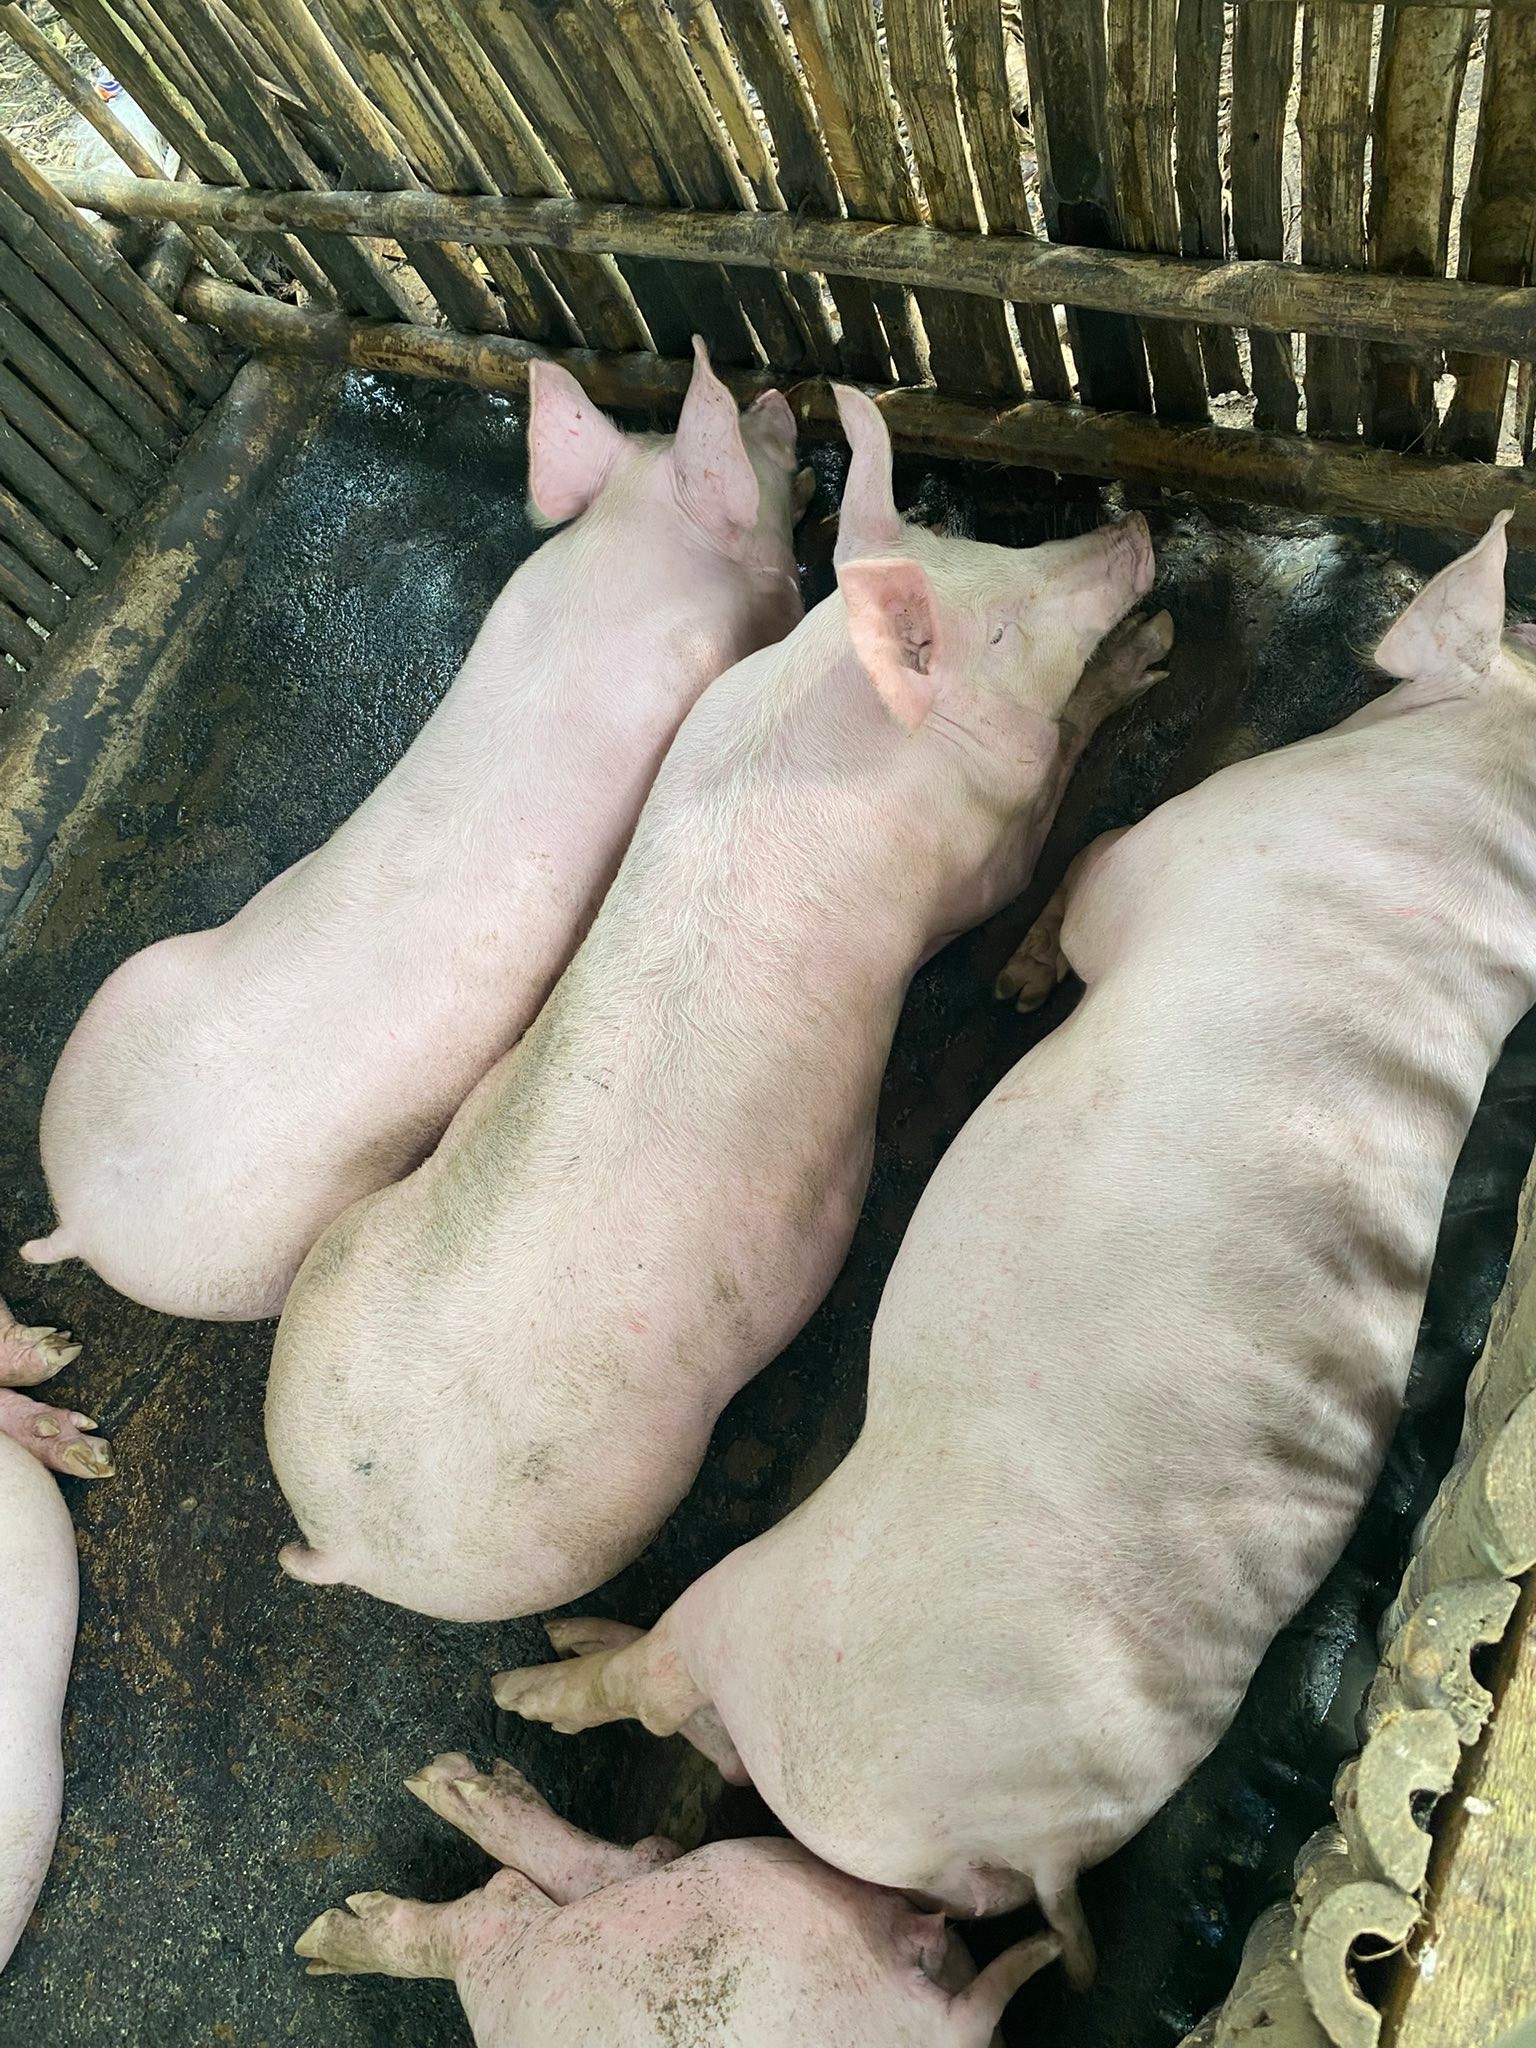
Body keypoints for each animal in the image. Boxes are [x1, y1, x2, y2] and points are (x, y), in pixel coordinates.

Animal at [265, 383, 1164, 1622]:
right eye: (1002, 630)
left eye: (989, 546)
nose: (1135, 528)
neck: (848, 713)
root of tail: (344, 1530)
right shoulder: (989, 853)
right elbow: (1047, 789)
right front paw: (1149, 658)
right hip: (594, 1514)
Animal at [294, 1750, 1058, 2046]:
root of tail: (949, 2017)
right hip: (745, 1879)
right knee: (640, 1856)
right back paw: (454, 1782)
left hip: (558, 1979)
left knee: (495, 1914)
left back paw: (323, 1945)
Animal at [492, 515, 1536, 1987]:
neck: (1482, 824)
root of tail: (1038, 1841)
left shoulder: (1167, 849)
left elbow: (1085, 877)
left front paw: (1022, 980)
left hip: (776, 1626)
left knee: (652, 1685)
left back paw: (526, 1683)